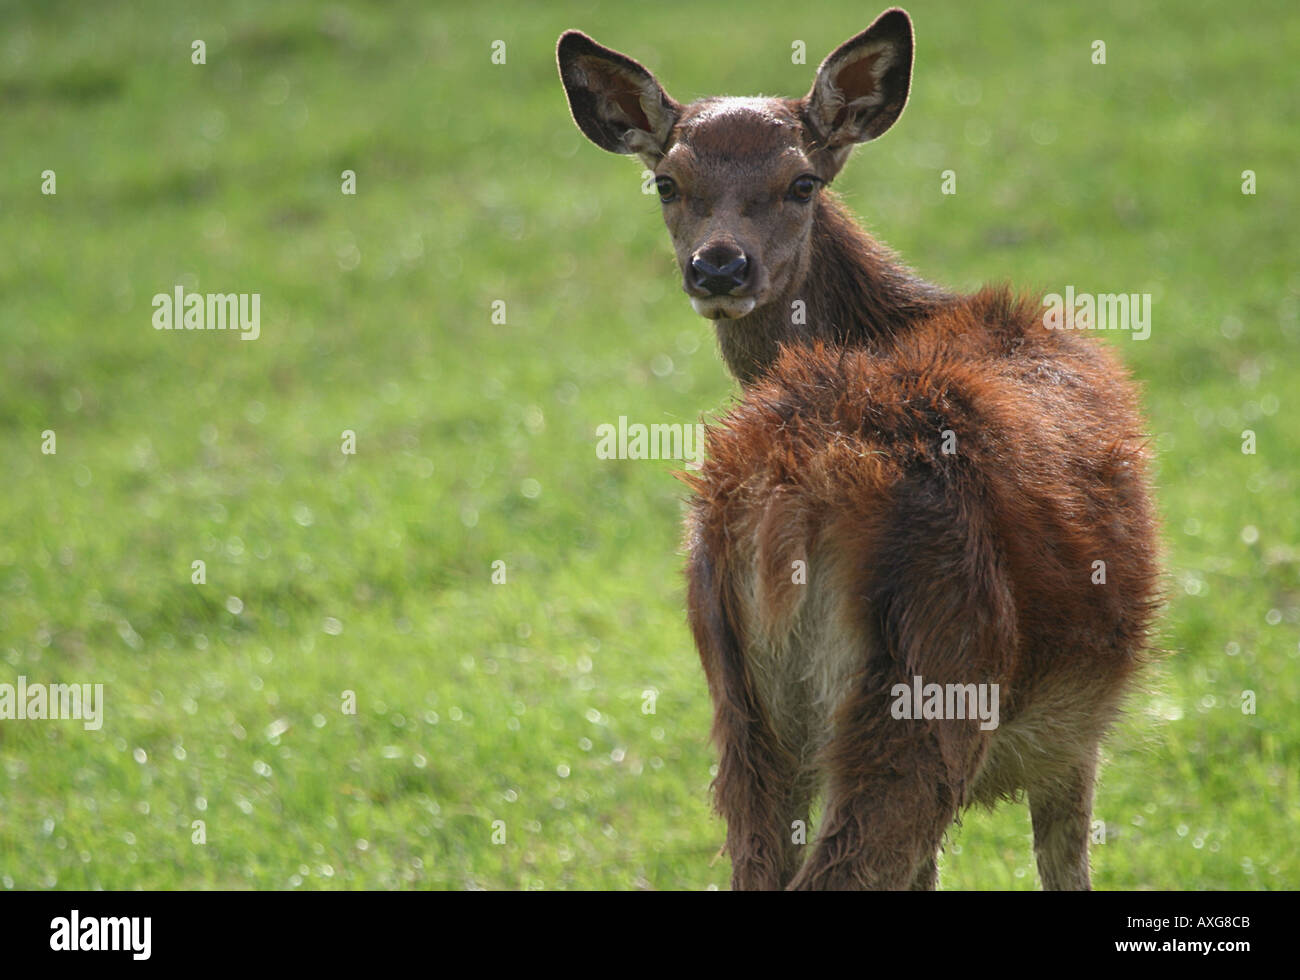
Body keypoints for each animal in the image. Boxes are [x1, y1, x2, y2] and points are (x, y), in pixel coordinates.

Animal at [557, 7, 1160, 890]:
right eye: (667, 183)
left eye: (802, 182)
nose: (719, 266)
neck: (896, 317)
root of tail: (788, 501)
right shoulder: (1078, 730)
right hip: (929, 687)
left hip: (740, 710)